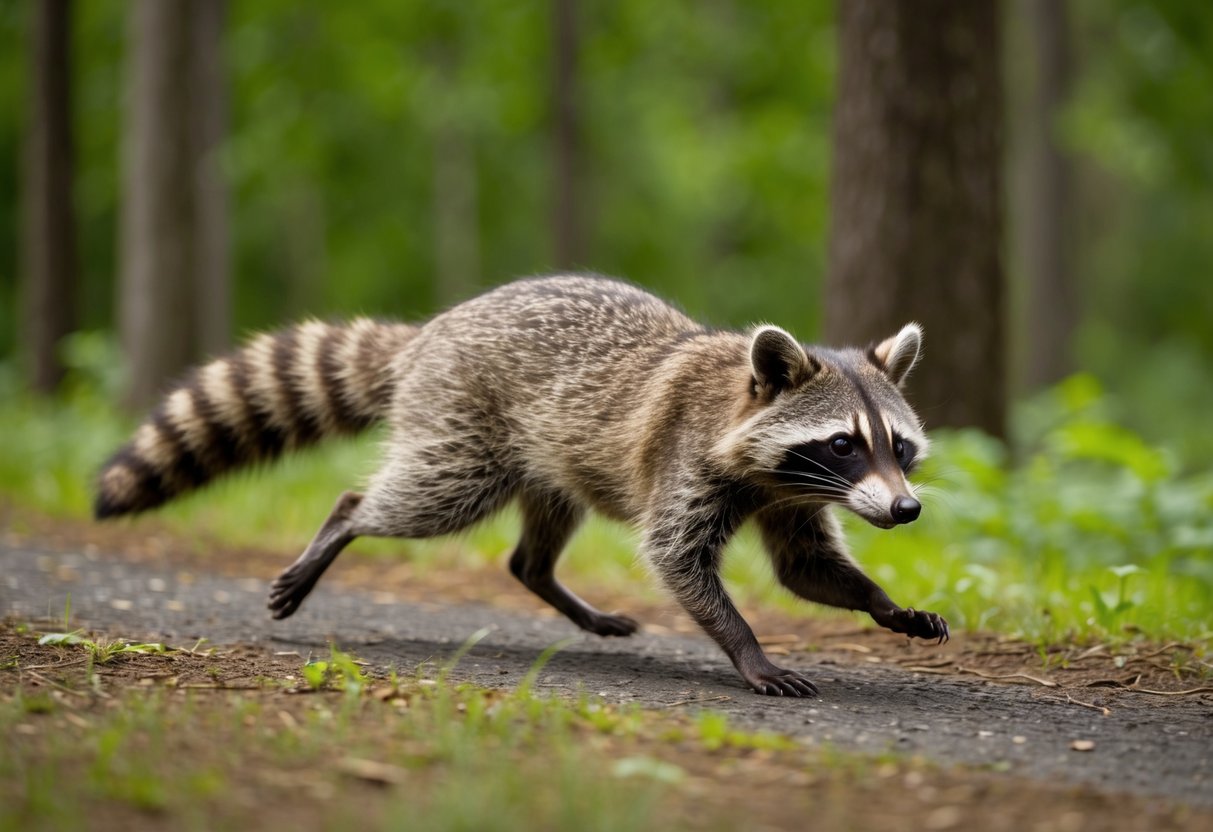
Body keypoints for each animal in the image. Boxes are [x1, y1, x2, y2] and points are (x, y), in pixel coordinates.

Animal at [96, 275, 948, 697]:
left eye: (899, 447)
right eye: (842, 443)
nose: (905, 510)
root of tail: (431, 331)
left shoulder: (791, 495)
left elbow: (804, 567)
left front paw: (884, 604)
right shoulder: (689, 459)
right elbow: (677, 558)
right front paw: (748, 649)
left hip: (549, 458)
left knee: (531, 548)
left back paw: (549, 582)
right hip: (464, 427)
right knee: (416, 498)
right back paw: (344, 520)